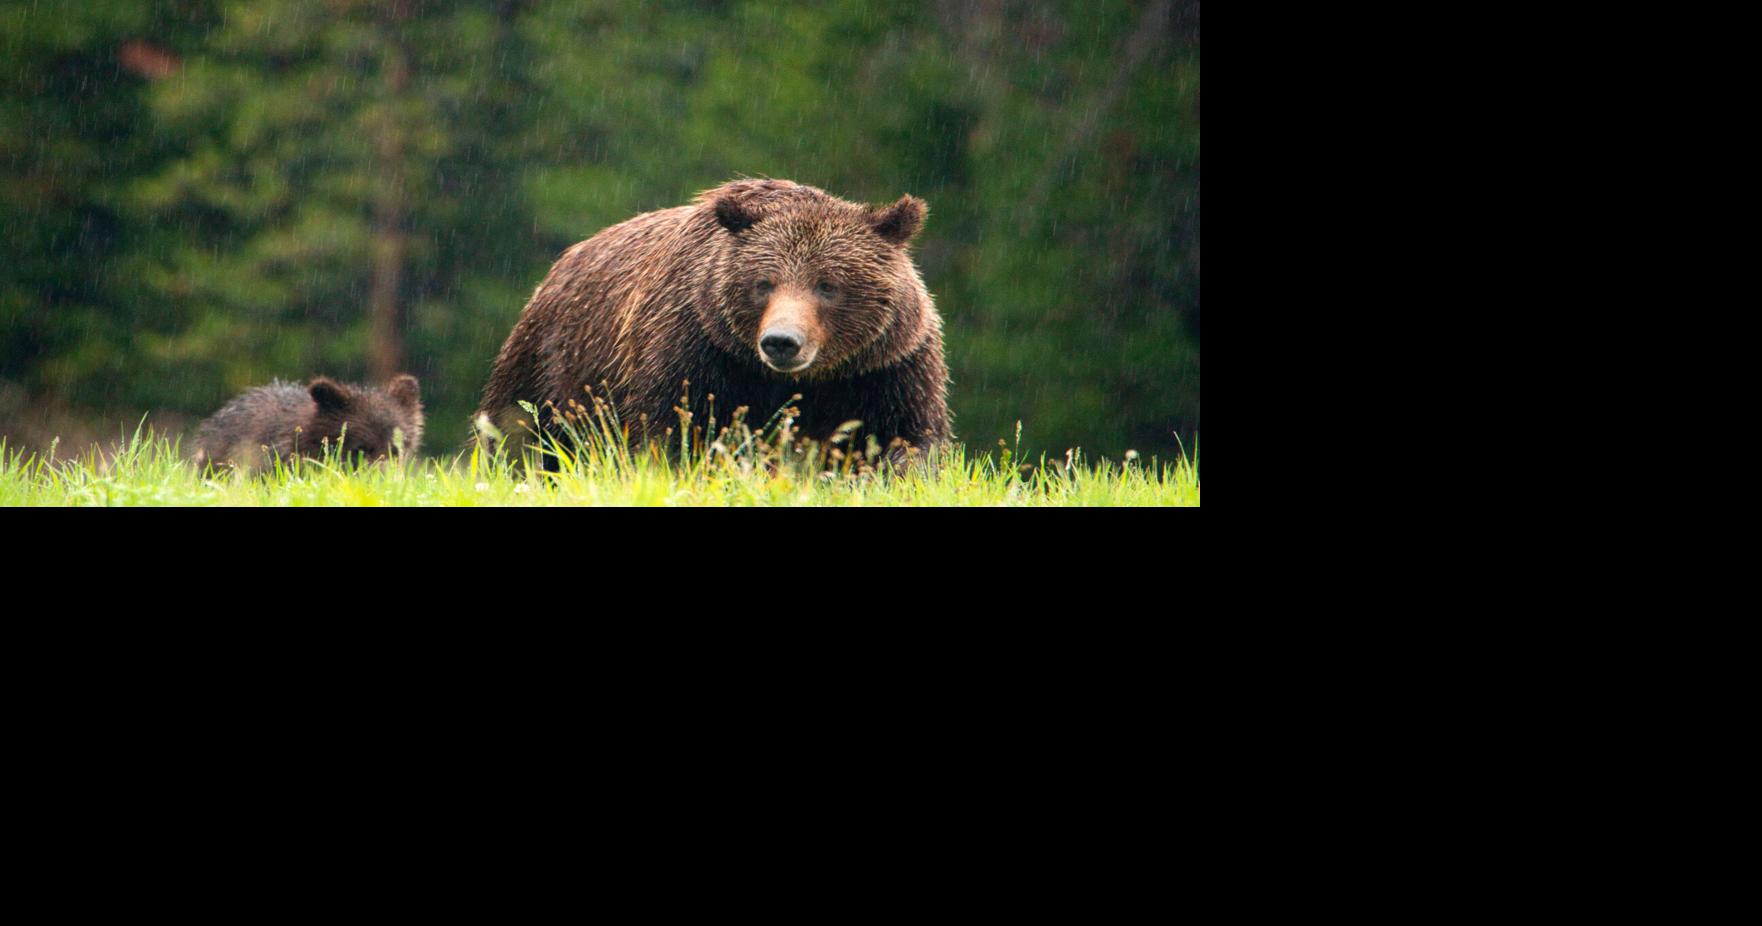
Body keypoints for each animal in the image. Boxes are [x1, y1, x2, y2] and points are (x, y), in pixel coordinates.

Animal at [476, 179, 951, 458]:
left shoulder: (886, 366)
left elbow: (904, 441)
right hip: (553, 365)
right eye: (764, 283)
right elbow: (679, 433)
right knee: (520, 438)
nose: (782, 341)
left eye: (827, 285)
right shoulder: (699, 348)